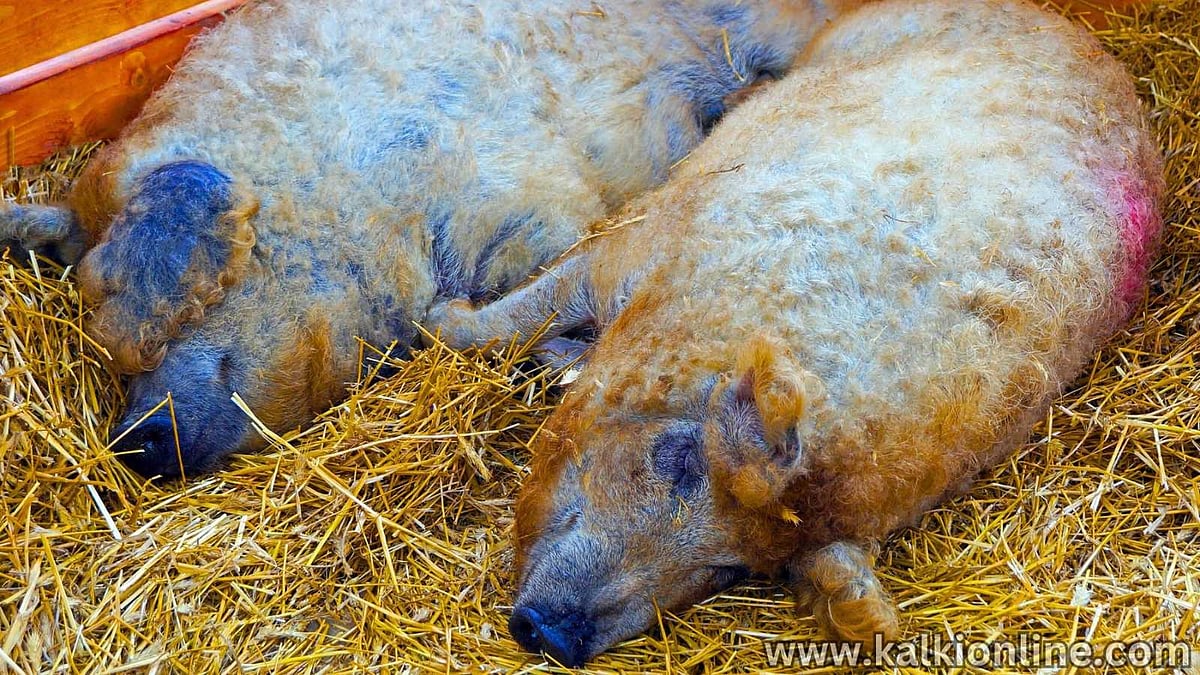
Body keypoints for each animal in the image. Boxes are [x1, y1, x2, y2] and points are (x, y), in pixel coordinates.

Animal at [427, 0, 1164, 665]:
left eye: (730, 568)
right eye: (678, 457)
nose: (553, 634)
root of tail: (1076, 33)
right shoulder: (638, 240)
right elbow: (520, 313)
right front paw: (442, 317)